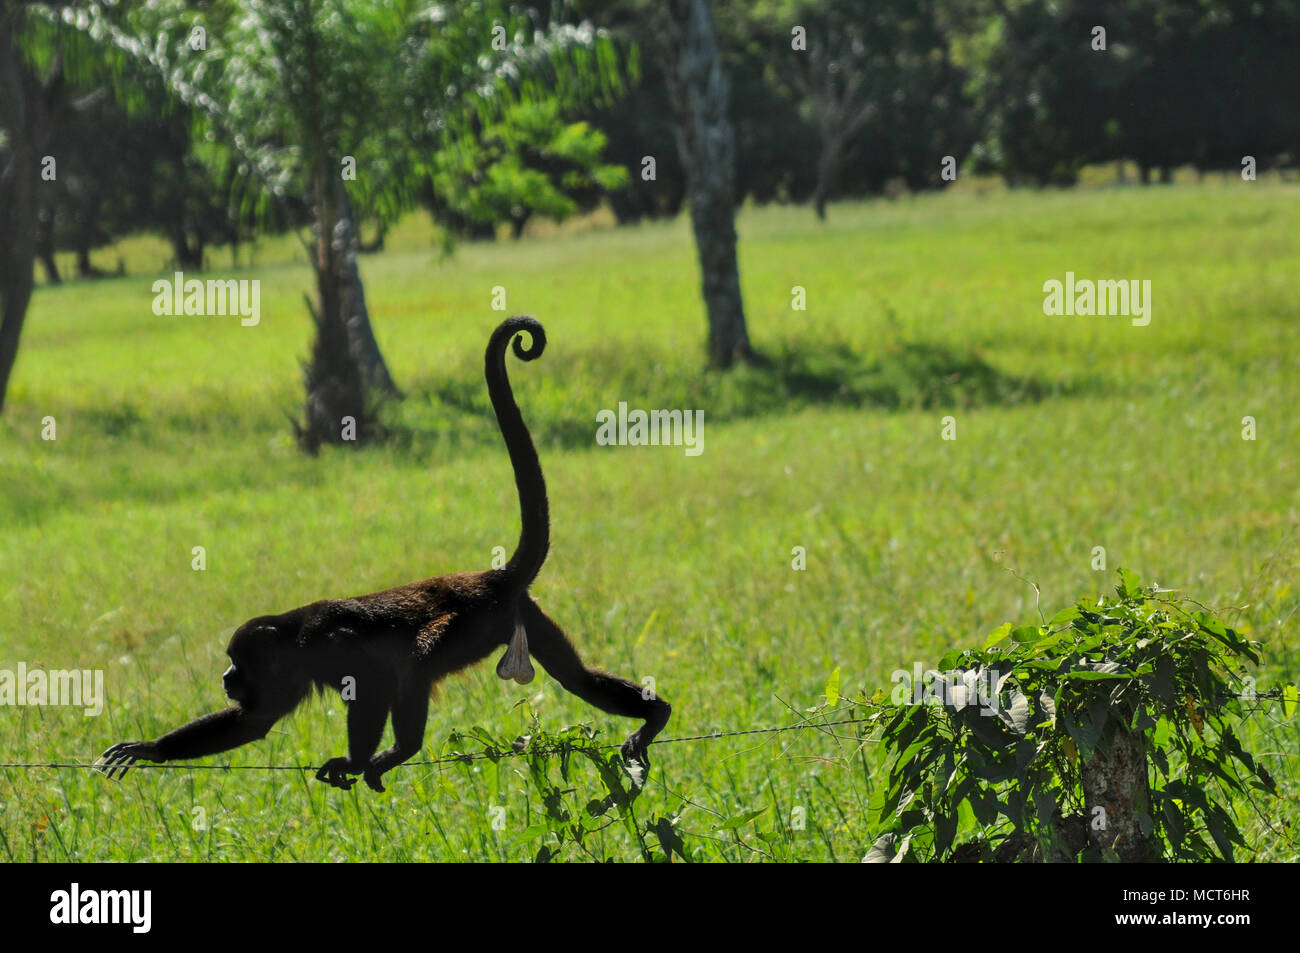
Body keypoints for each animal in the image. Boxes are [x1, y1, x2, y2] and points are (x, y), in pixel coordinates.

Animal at [98, 316, 670, 792]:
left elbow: (372, 682)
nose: (225, 679)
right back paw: (655, 714)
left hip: (474, 622)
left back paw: (401, 750)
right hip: (522, 616)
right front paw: (152, 748)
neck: (290, 638)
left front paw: (352, 761)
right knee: (576, 677)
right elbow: (255, 721)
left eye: (236, 661)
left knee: (416, 661)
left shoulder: (331, 646)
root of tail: (490, 578)